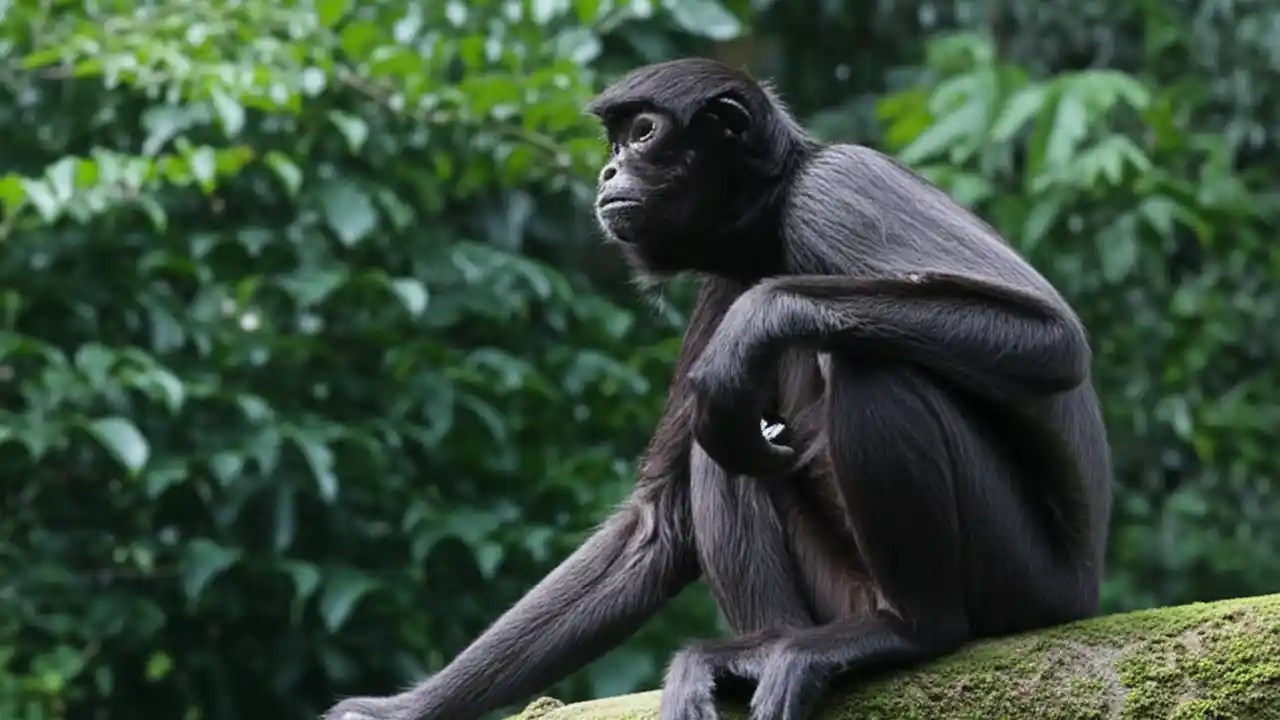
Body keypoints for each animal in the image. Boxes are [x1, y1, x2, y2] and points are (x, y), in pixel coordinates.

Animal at [324, 57, 1112, 720]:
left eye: (641, 133)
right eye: (614, 139)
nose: (608, 170)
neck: (776, 215)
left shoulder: (840, 186)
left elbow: (1054, 339)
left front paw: (755, 326)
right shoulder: (726, 275)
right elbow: (656, 523)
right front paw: (403, 709)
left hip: (1017, 573)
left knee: (866, 369)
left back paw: (910, 629)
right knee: (726, 440)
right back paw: (758, 654)